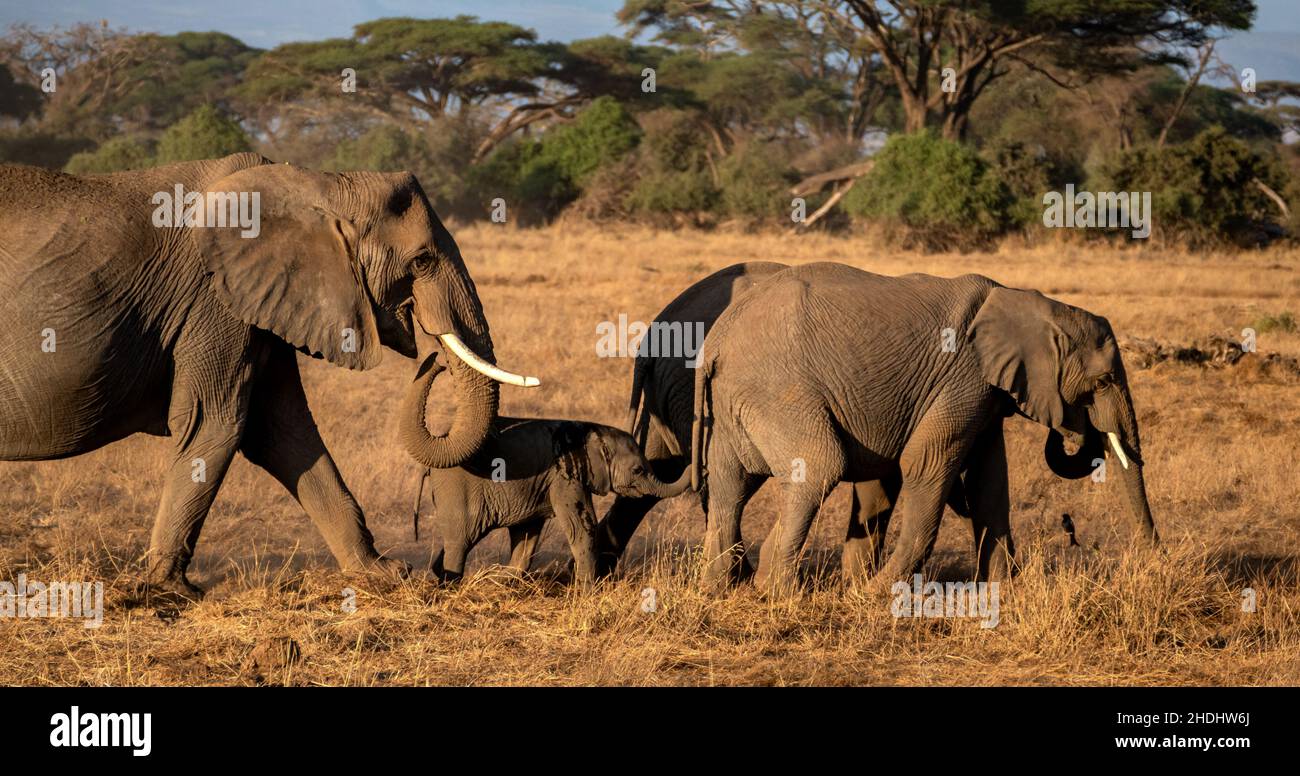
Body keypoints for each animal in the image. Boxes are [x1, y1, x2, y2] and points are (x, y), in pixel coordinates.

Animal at [0, 154, 536, 598]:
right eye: (422, 260)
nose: (435, 358)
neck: (321, 184)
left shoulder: (264, 300)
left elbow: (284, 432)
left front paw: (382, 577)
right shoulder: (214, 301)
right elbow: (216, 424)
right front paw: (170, 594)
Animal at [404, 354, 689, 583]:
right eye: (638, 471)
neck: (595, 430)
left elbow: (528, 535)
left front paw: (509, 582)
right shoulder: (565, 476)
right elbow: (581, 526)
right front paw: (587, 589)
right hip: (458, 489)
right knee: (460, 541)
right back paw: (449, 585)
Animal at [688, 262, 1157, 592]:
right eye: (1103, 381)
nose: (1154, 561)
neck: (1030, 302)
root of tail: (718, 338)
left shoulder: (984, 395)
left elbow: (989, 484)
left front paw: (1005, 591)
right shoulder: (964, 376)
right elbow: (925, 465)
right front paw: (876, 594)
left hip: (734, 401)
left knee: (729, 483)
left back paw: (720, 587)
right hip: (776, 388)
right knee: (819, 466)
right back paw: (778, 592)